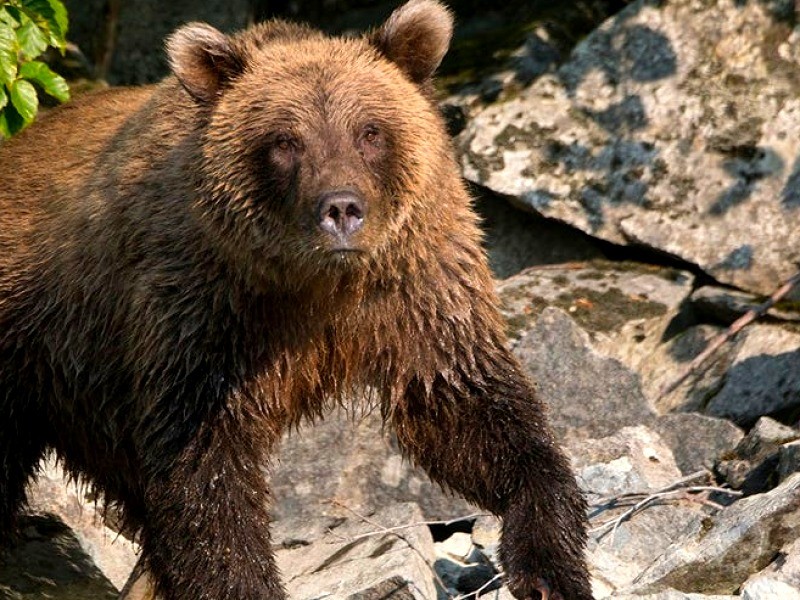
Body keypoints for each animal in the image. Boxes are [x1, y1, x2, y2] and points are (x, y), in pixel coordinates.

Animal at [0, 1, 592, 599]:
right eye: (285, 141)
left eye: (369, 131)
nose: (341, 208)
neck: (317, 285)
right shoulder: (202, 312)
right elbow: (206, 474)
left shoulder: (415, 289)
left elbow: (468, 407)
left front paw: (549, 565)